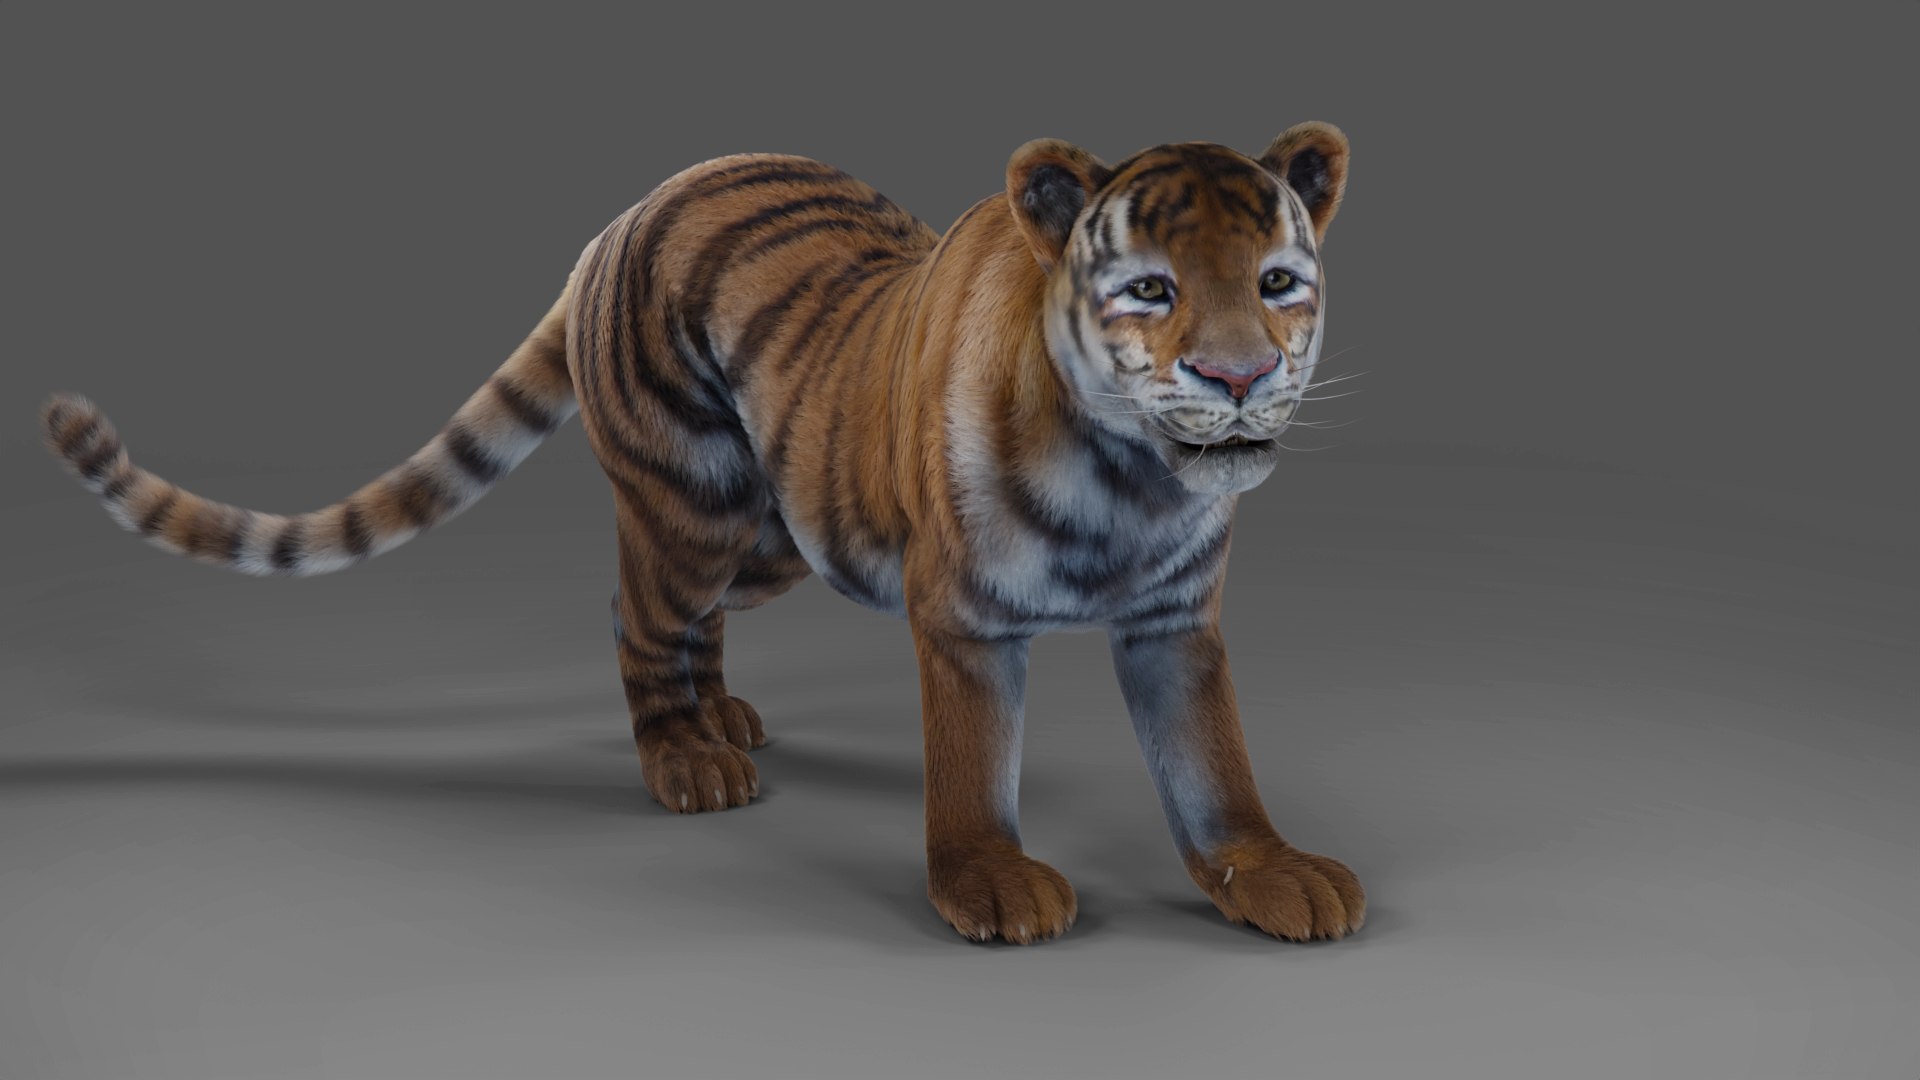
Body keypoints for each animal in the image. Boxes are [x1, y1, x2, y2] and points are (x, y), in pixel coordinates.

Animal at [40, 122, 1365, 945]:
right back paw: (685, 757)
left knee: (696, 618)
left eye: (1277, 283)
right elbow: (975, 763)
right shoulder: (963, 623)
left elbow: (1212, 766)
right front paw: (987, 882)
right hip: (696, 503)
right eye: (1150, 290)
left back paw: (720, 716)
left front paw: (1274, 873)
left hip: (789, 531)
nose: (1239, 376)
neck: (1136, 478)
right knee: (639, 613)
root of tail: (633, 208)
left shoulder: (1175, 626)